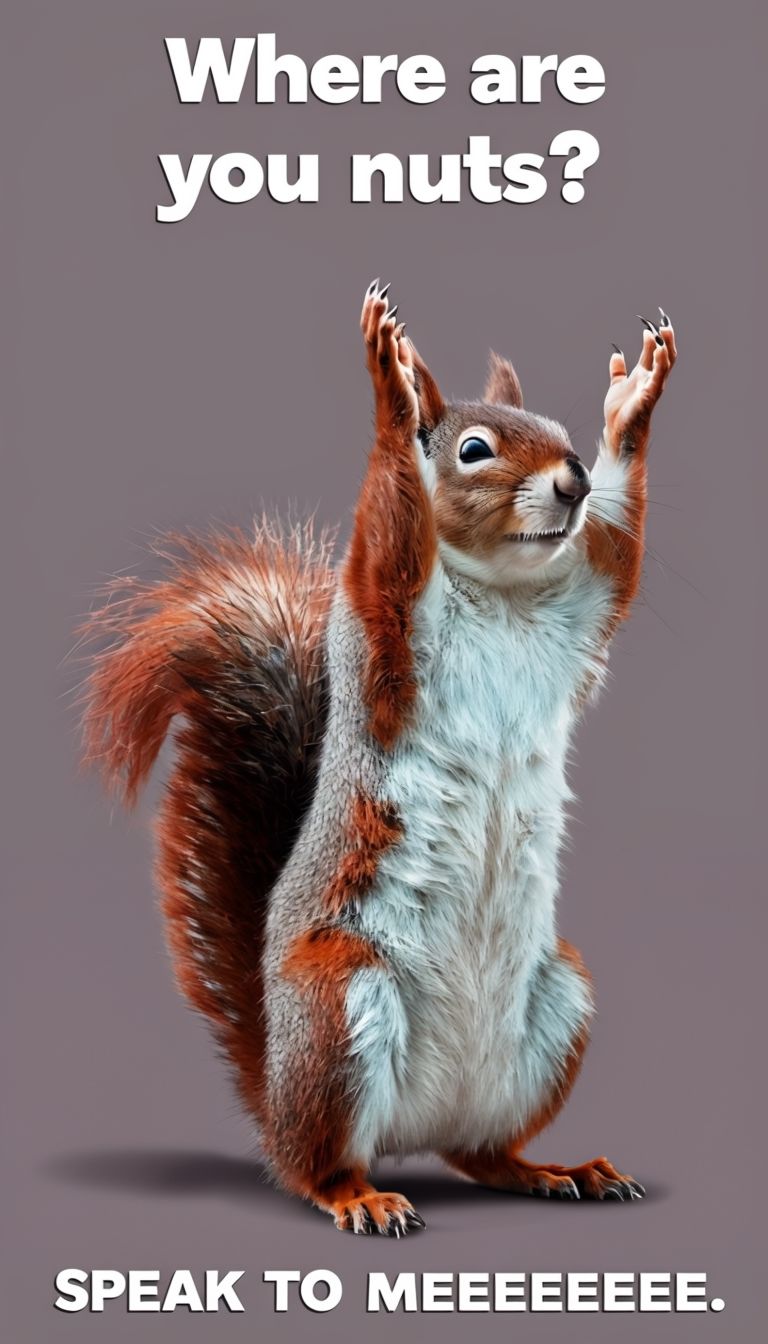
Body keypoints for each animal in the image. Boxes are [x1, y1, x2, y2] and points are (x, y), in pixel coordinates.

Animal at [82, 282, 677, 1235]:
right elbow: (389, 549)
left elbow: (616, 552)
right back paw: (359, 1196)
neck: (502, 595)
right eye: (473, 450)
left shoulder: (579, 612)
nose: (575, 480)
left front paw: (633, 402)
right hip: (340, 1004)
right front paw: (389, 391)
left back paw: (554, 1171)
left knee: (483, 1153)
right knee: (315, 1167)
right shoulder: (386, 633)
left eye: (565, 434)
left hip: (560, 998)